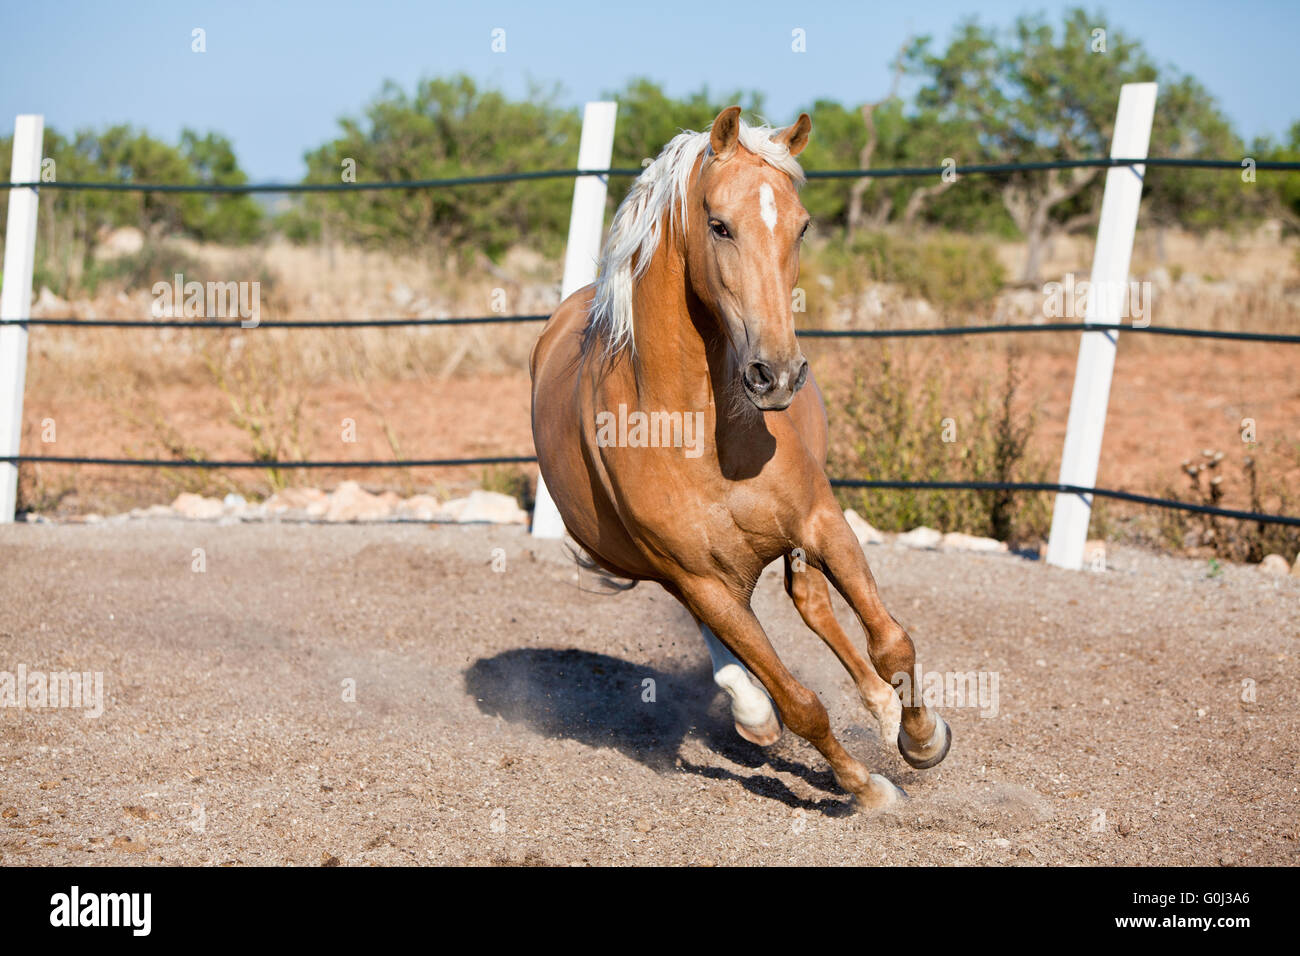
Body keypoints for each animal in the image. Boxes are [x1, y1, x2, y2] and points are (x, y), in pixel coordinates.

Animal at [530, 106, 950, 809]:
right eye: (719, 225)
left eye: (802, 225)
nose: (775, 374)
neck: (696, 432)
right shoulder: (701, 579)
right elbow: (799, 701)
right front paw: (866, 789)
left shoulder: (819, 520)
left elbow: (891, 641)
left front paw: (919, 738)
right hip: (687, 577)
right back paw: (753, 713)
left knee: (811, 601)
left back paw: (882, 711)